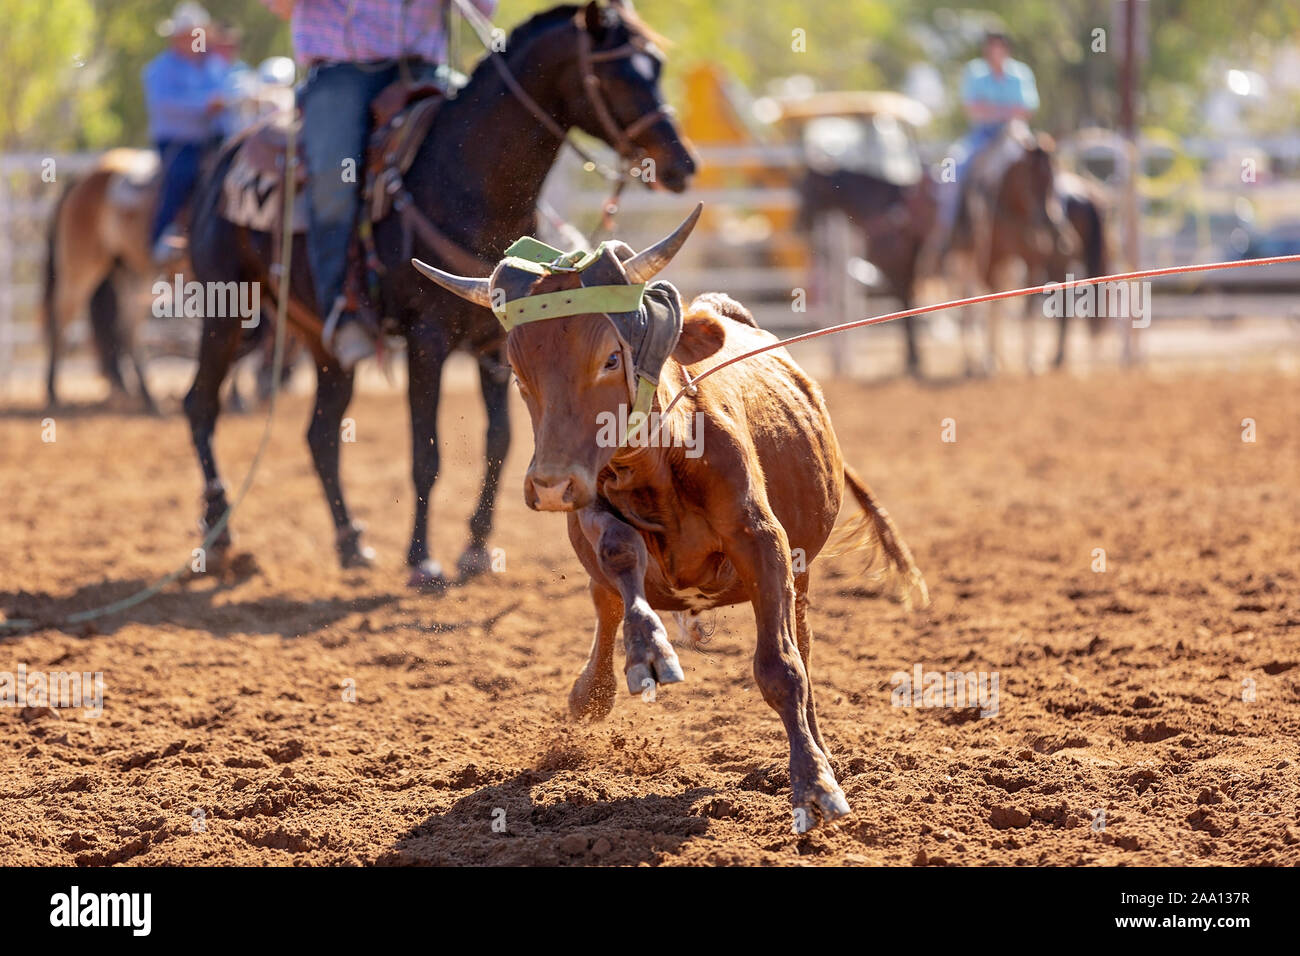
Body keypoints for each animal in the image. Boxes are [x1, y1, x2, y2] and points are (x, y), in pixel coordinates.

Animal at [413, 204, 928, 832]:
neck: (660, 463)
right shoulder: (595, 504)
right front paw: (646, 653)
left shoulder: (766, 543)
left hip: (802, 573)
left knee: (801, 645)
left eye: (611, 358)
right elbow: (619, 558)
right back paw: (592, 691)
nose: (551, 485)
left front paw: (814, 784)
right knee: (604, 600)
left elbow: (782, 667)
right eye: (517, 372)